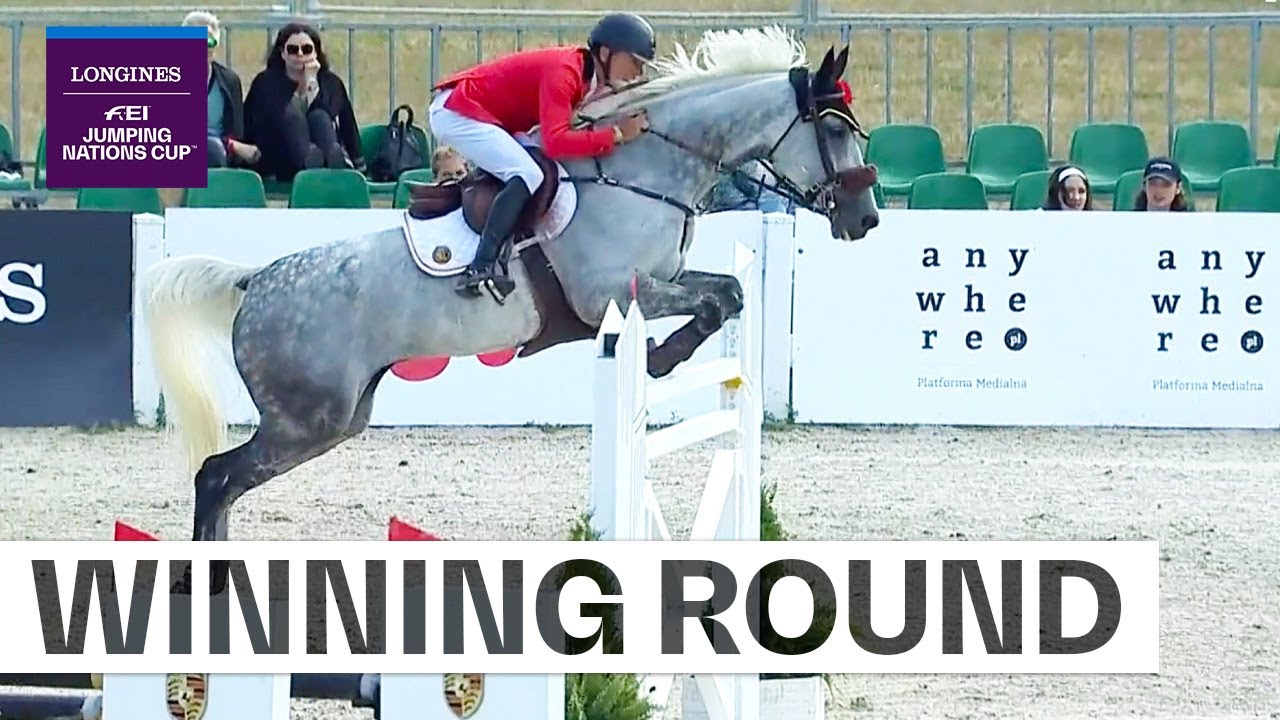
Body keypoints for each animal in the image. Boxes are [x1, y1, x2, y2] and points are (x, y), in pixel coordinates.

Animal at [140, 25, 882, 545]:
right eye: (833, 127)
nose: (867, 218)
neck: (647, 169)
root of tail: (255, 281)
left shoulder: (664, 278)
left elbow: (728, 292)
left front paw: (663, 358)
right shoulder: (613, 292)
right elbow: (715, 299)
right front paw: (660, 358)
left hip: (338, 417)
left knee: (227, 482)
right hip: (305, 418)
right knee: (216, 476)